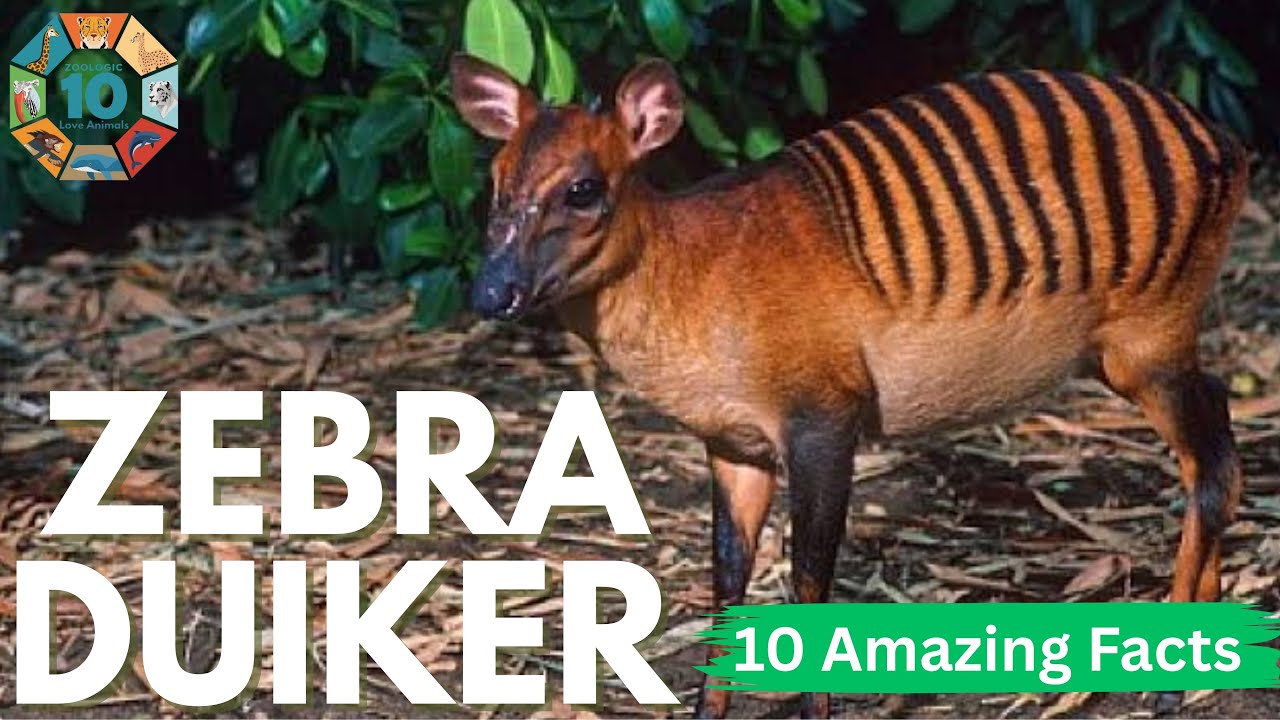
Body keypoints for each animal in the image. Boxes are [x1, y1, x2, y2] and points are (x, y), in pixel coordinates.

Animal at [449, 53, 1247, 718]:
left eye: (583, 190)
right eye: (494, 183)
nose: (490, 293)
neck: (694, 272)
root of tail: (1224, 143)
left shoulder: (824, 419)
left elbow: (808, 581)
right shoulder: (732, 444)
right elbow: (729, 578)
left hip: (1148, 334)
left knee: (1212, 464)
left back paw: (1173, 680)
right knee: (1217, 434)